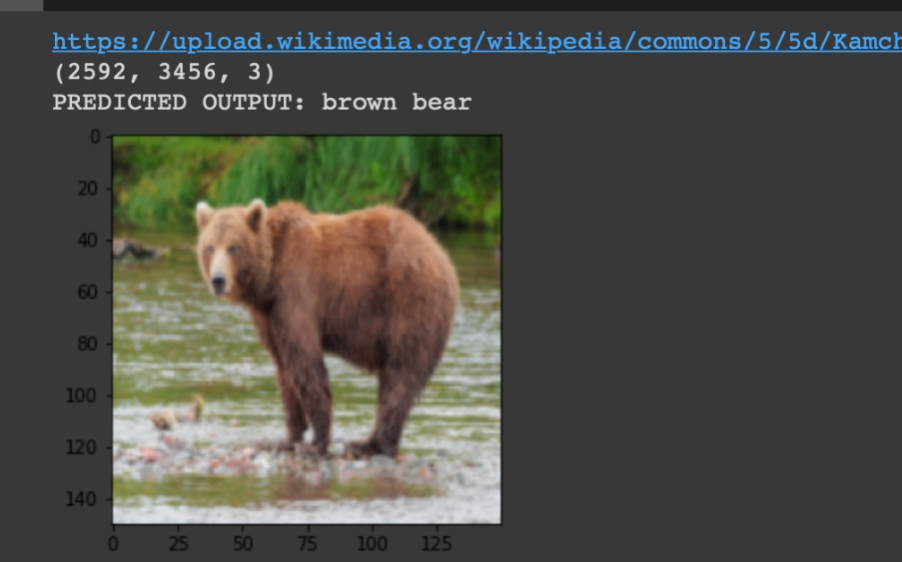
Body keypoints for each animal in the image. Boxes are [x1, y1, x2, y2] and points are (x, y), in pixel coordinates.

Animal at [195, 198, 459, 459]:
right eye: (210, 247)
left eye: (233, 247)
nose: (218, 280)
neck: (268, 278)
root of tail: (440, 253)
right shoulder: (269, 315)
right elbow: (284, 368)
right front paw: (285, 439)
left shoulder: (297, 292)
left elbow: (305, 363)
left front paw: (315, 444)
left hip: (407, 301)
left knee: (400, 374)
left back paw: (369, 444)